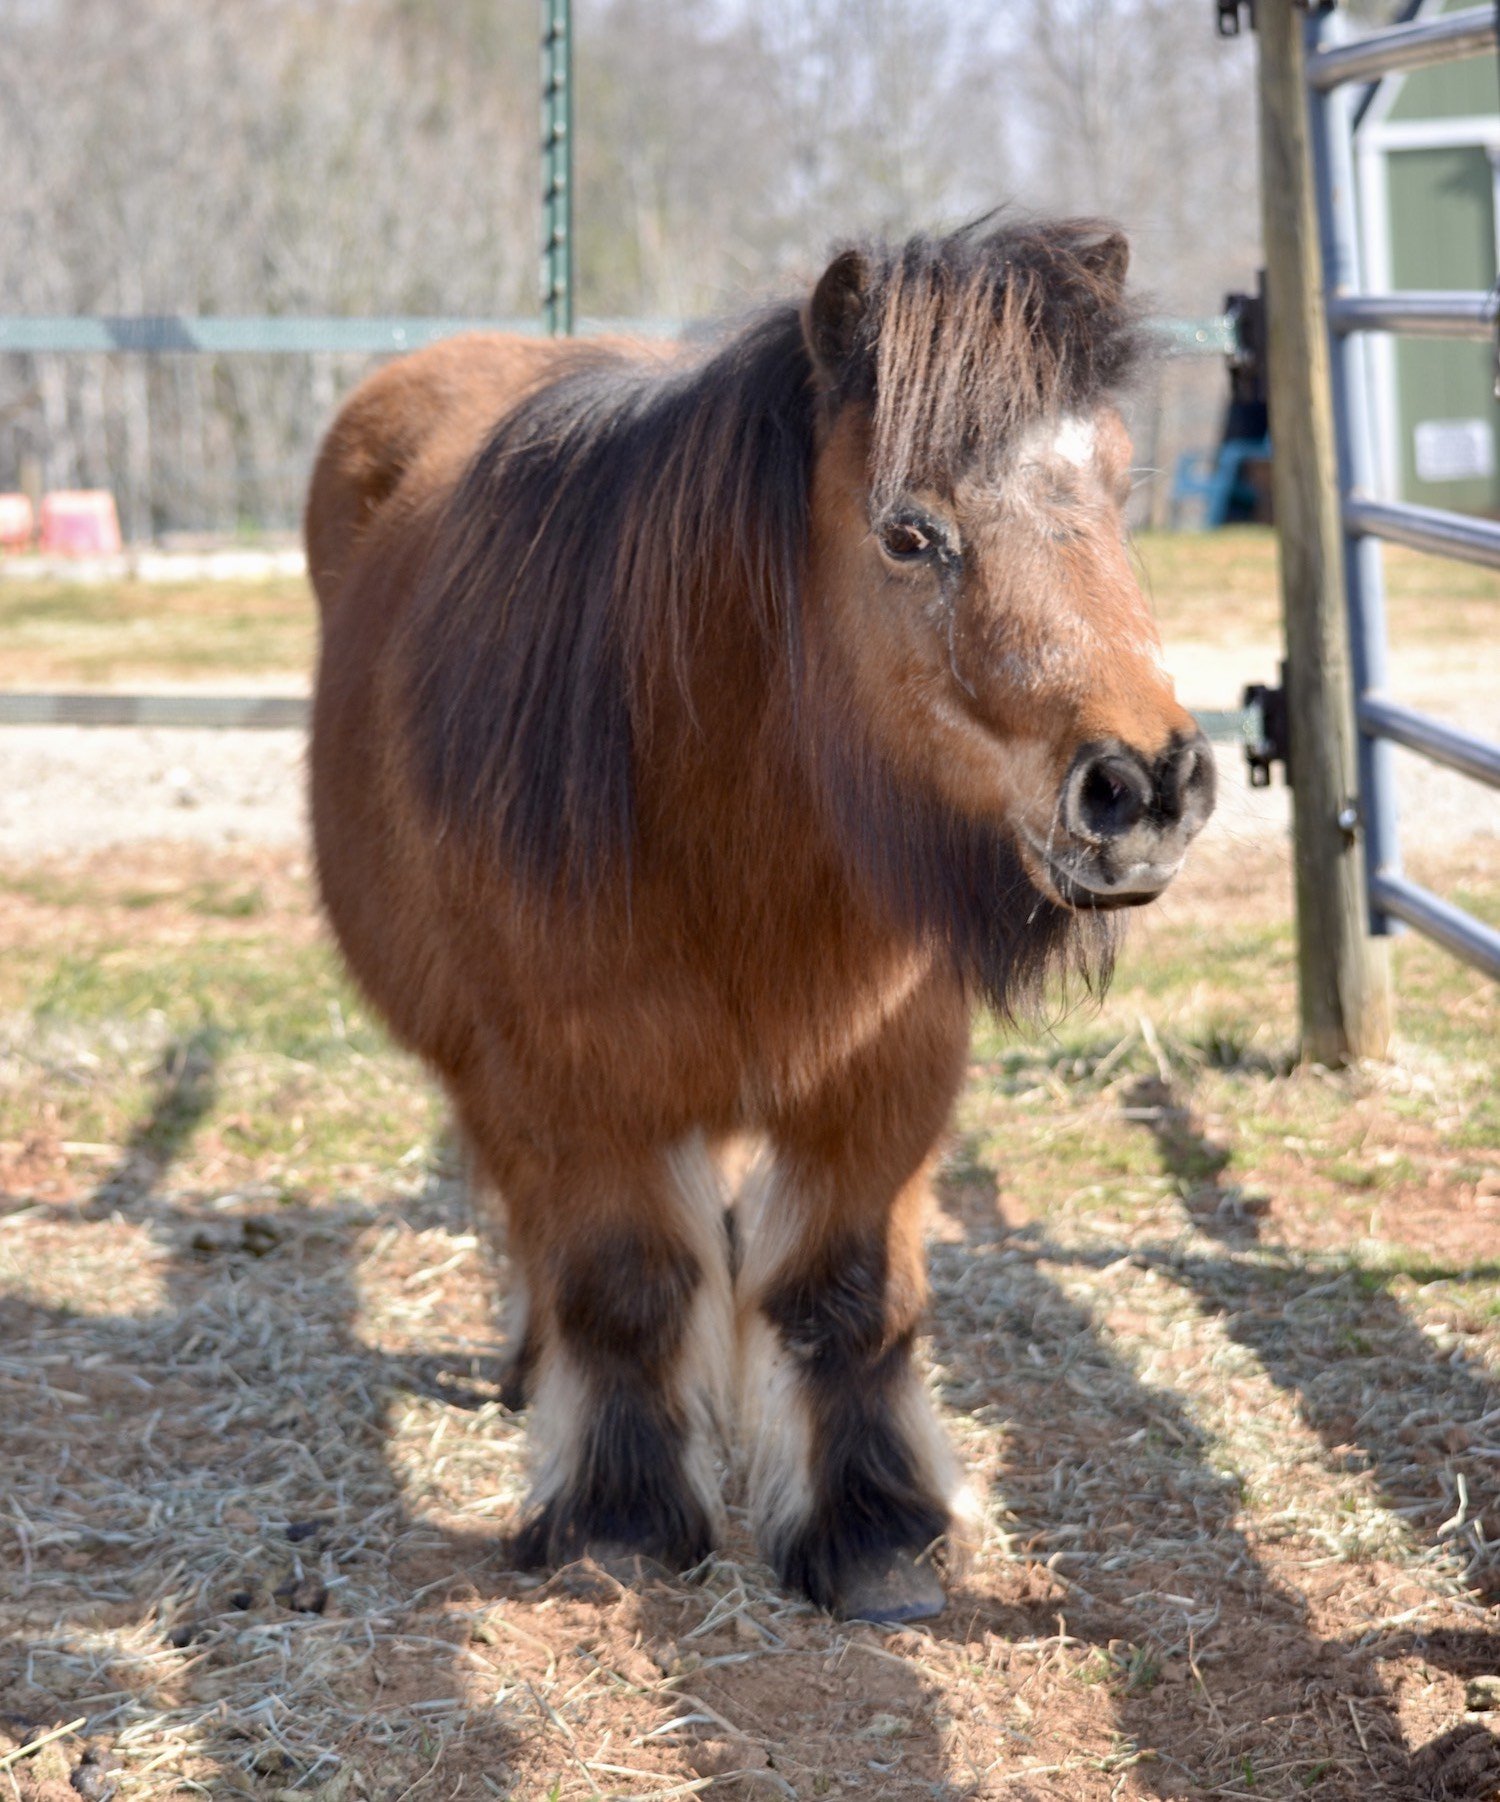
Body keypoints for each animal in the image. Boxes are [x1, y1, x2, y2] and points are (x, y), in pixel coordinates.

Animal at [304, 217, 1216, 1623]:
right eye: (908, 534)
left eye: (1117, 487)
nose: (1146, 786)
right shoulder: (576, 1083)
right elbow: (623, 1288)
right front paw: (619, 1519)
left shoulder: (882, 1082)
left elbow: (840, 1294)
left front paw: (875, 1530)